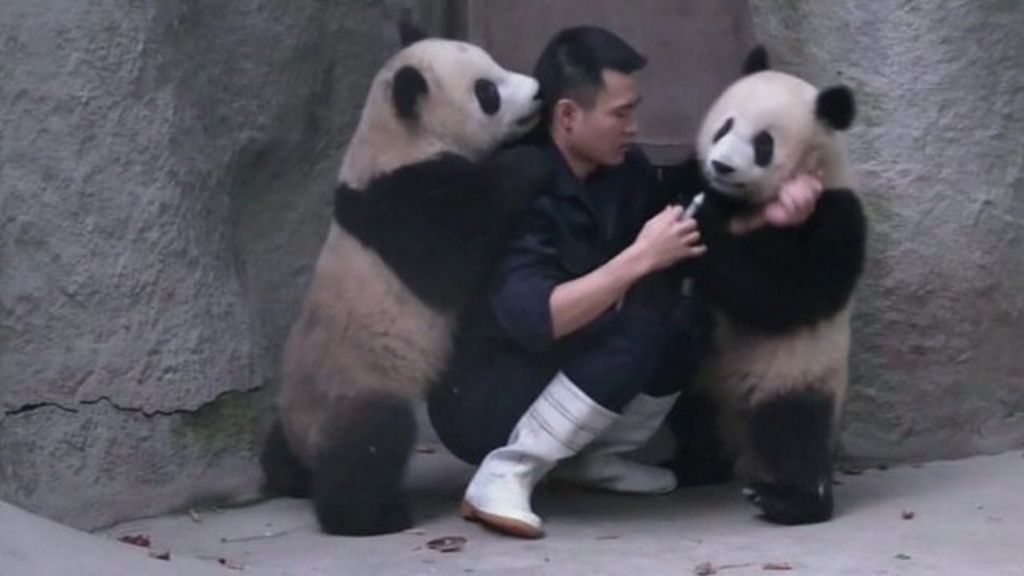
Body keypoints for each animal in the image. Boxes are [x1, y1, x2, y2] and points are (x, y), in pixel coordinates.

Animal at [259, 22, 545, 536]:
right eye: (487, 92)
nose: (537, 91)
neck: (397, 137)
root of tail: (307, 437)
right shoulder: (403, 201)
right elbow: (453, 261)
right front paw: (529, 163)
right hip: (360, 384)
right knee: (372, 443)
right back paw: (371, 516)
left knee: (285, 446)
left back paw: (287, 474)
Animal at [665, 47, 868, 525]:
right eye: (725, 126)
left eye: (763, 144)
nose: (721, 165)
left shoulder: (836, 213)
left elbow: (786, 294)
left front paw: (702, 223)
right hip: (703, 377)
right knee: (694, 416)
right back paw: (695, 466)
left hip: (795, 370)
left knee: (793, 430)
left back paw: (788, 499)